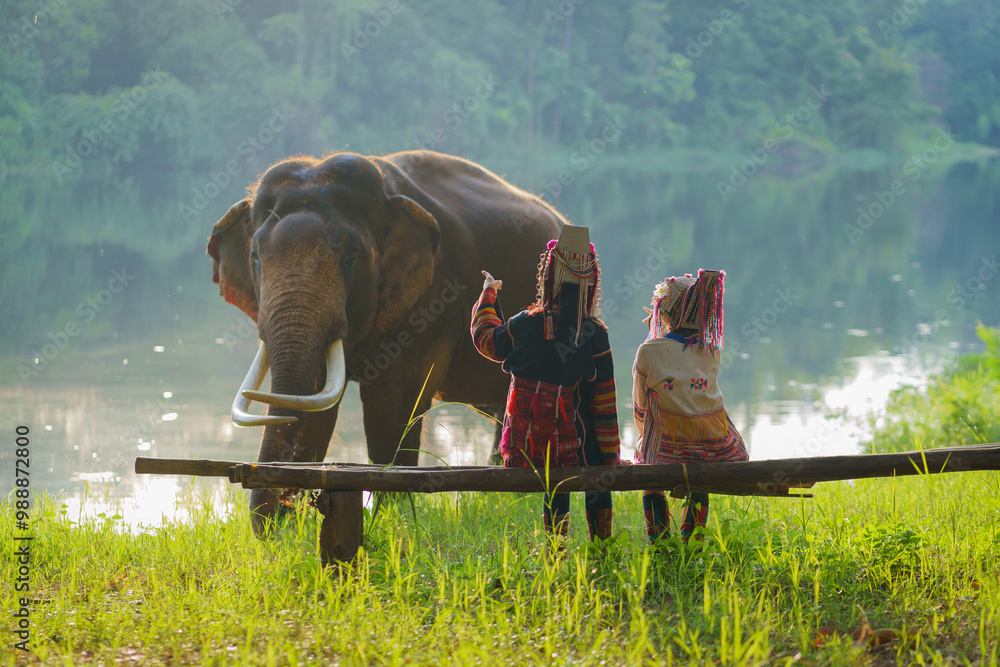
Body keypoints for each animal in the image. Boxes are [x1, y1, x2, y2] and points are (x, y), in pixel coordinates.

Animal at [207, 150, 566, 534]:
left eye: (351, 255)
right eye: (256, 258)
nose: (279, 515)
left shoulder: (430, 298)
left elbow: (392, 405)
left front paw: (393, 517)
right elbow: (314, 410)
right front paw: (295, 527)